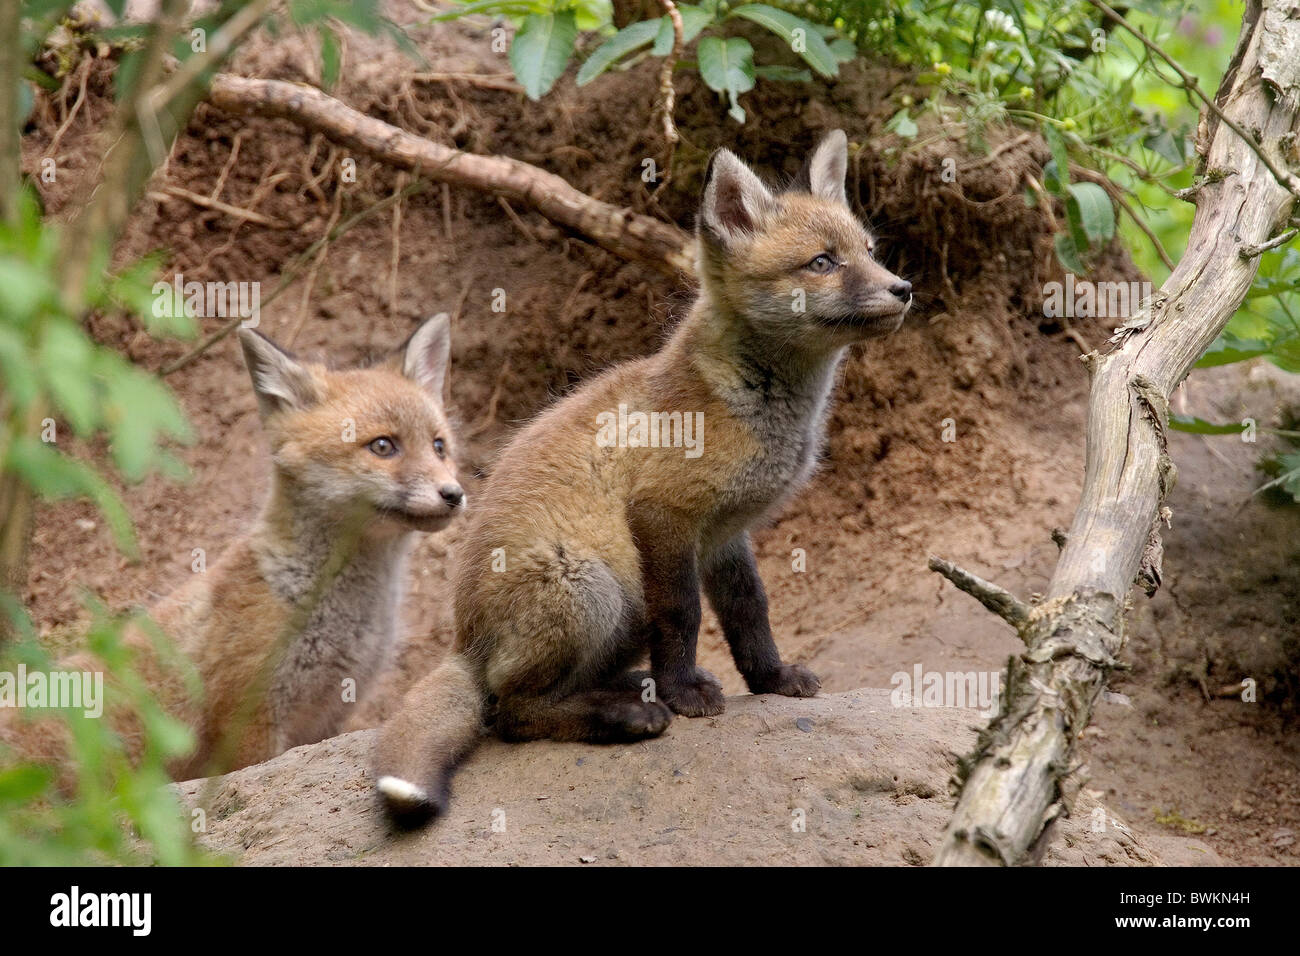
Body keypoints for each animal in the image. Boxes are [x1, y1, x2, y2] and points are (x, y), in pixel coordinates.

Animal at [373, 130, 912, 825]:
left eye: (868, 252)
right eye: (822, 262)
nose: (903, 288)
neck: (753, 406)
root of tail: (464, 642)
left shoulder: (726, 533)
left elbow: (750, 612)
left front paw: (770, 680)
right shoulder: (664, 516)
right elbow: (682, 614)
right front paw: (685, 695)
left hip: (617, 615)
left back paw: (627, 688)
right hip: (588, 586)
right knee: (509, 714)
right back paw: (627, 715)